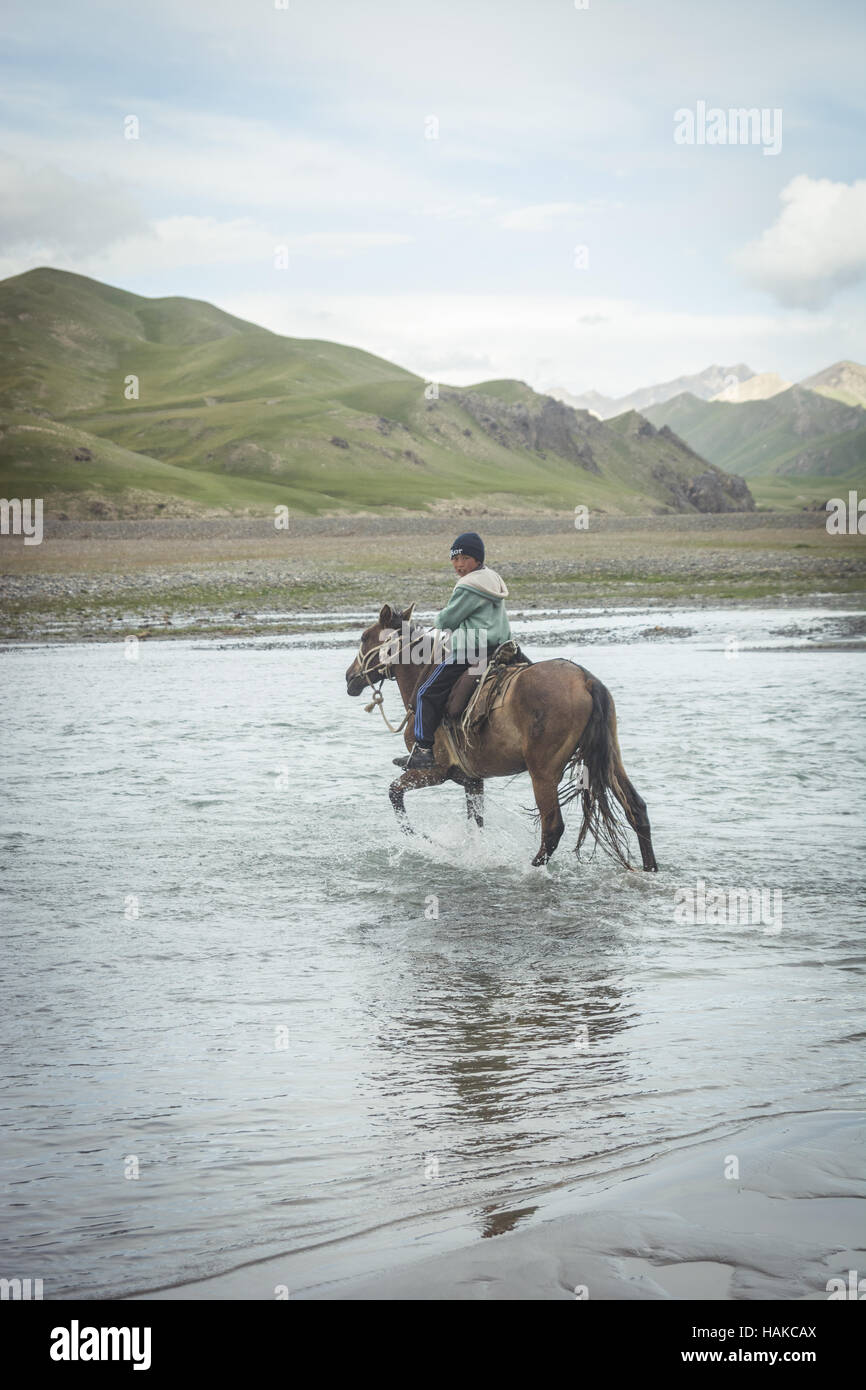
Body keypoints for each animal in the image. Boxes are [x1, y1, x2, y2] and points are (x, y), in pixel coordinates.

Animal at [345, 602, 658, 871]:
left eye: (364, 637)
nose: (349, 678)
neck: (424, 674)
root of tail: (585, 680)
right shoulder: (472, 780)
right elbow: (476, 823)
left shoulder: (435, 771)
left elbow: (395, 794)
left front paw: (423, 840)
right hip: (609, 760)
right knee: (636, 809)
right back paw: (650, 868)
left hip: (543, 773)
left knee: (552, 827)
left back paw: (531, 869)